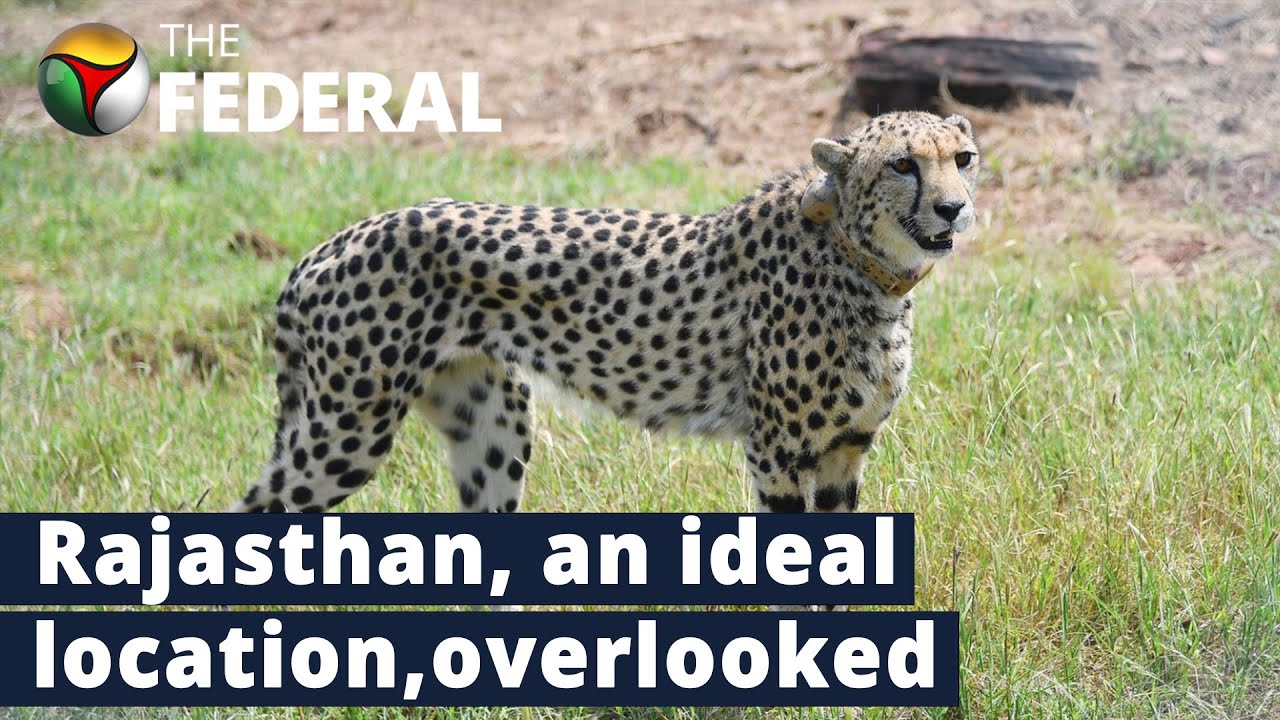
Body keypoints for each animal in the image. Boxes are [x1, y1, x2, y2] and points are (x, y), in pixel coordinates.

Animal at [230, 110, 980, 517]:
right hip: (346, 431)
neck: (867, 265)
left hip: (492, 424)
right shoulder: (780, 449)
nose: (954, 208)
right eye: (903, 164)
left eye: (963, 158)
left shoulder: (845, 449)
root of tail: (336, 240)